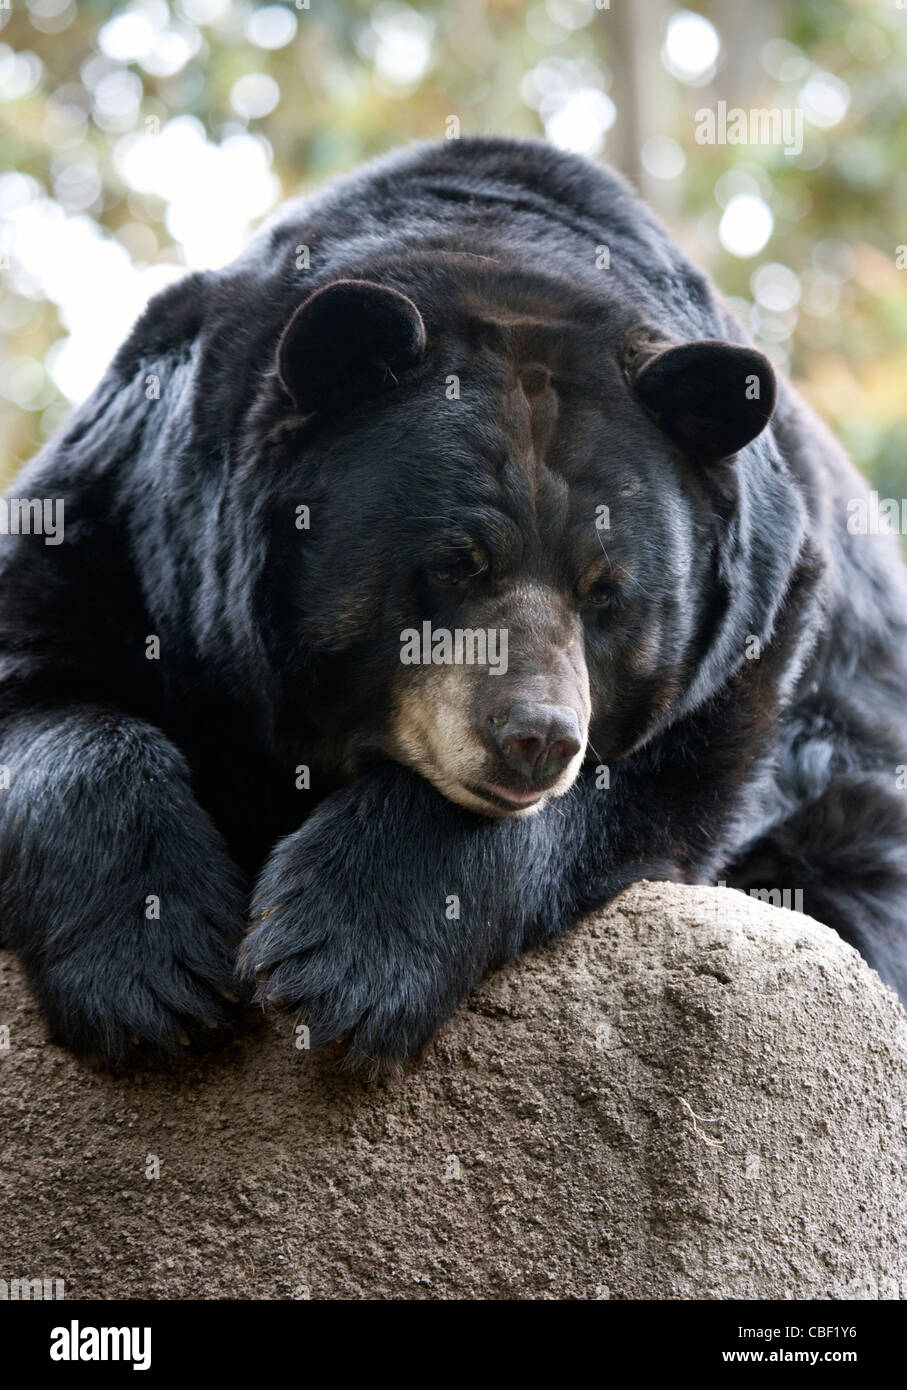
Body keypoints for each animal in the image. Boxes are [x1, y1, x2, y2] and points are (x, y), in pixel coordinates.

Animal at [1, 135, 906, 1069]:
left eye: (607, 592)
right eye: (455, 563)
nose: (537, 739)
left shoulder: (749, 640)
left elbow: (648, 781)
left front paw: (340, 954)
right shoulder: (134, 512)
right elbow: (45, 685)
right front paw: (153, 975)